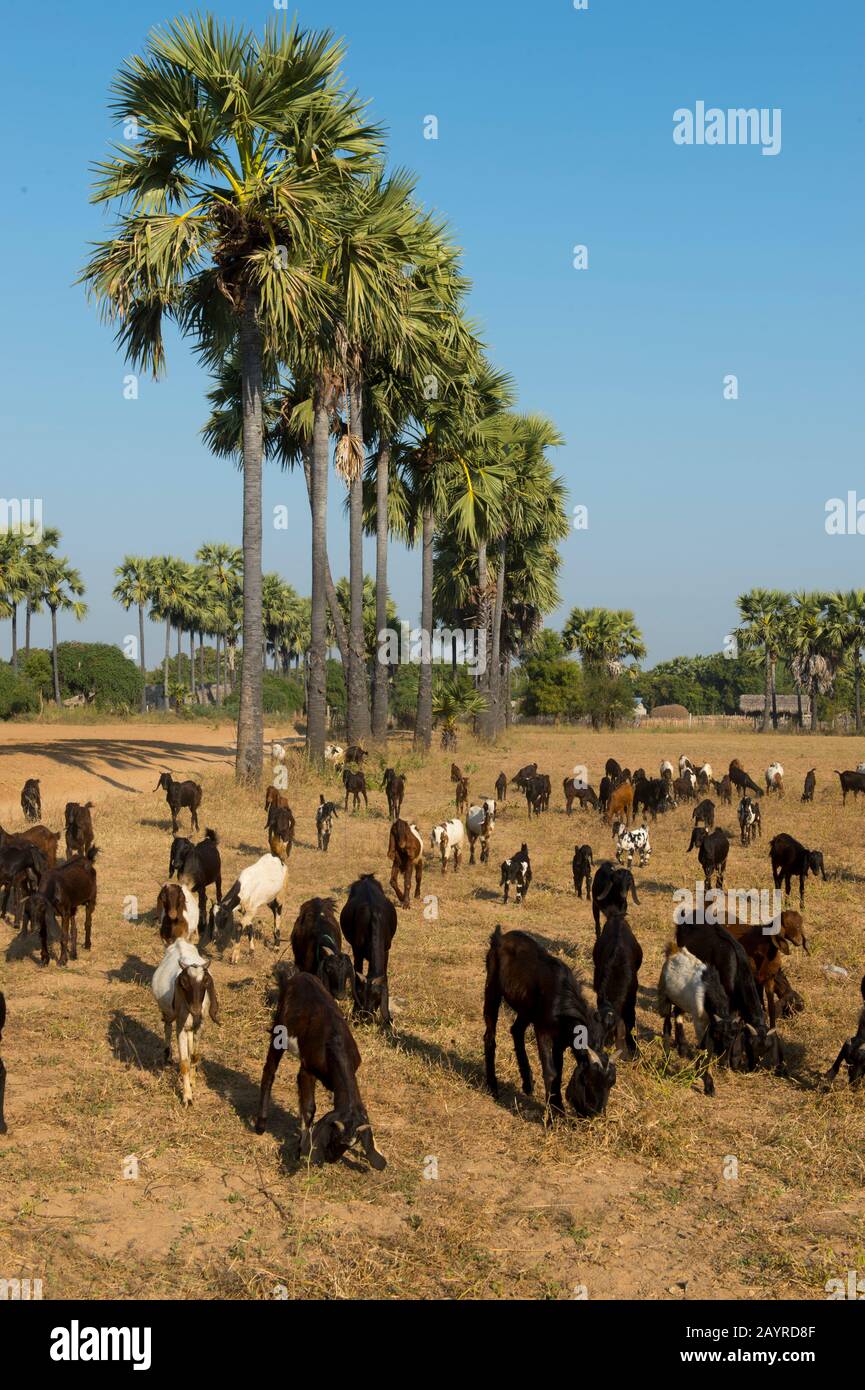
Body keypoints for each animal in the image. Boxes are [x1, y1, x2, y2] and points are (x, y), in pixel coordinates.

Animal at [151, 937, 219, 1106]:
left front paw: (193, 1082)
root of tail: (180, 941)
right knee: (167, 1027)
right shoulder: (180, 1027)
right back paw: (167, 1055)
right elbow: (184, 1063)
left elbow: (194, 1056)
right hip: (168, 1014)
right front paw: (187, 1096)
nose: (195, 1009)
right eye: (183, 983)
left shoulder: (200, 1025)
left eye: (205, 982)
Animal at [254, 970, 386, 1169]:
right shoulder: (307, 1070)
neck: (335, 1043)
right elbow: (309, 1108)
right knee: (270, 1069)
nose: (331, 1159)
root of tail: (301, 975)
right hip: (279, 1032)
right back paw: (261, 1124)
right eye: (335, 1136)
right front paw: (302, 1149)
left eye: (353, 1144)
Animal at [340, 874, 398, 1025]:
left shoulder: (386, 950)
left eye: (376, 996)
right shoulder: (357, 951)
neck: (373, 919)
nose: (366, 1016)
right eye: (360, 993)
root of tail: (366, 878)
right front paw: (354, 1011)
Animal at [484, 926, 616, 1118]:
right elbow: (551, 1071)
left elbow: (559, 1072)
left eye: (611, 1084)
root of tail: (500, 936)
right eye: (587, 1080)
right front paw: (552, 1116)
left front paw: (558, 1107)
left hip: (526, 1009)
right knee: (490, 1036)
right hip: (492, 987)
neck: (562, 1000)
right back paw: (493, 1086)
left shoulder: (561, 1040)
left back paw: (528, 1083)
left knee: (516, 1030)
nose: (594, 1113)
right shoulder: (543, 1031)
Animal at [657, 946, 738, 1096]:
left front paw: (700, 1072)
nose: (723, 1062)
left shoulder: (710, 1024)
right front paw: (707, 1083)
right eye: (718, 1035)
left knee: (678, 1015)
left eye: (733, 1036)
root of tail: (673, 951)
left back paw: (682, 1047)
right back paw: (666, 1055)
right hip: (665, 995)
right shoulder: (700, 1022)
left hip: (681, 1001)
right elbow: (705, 1048)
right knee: (667, 1023)